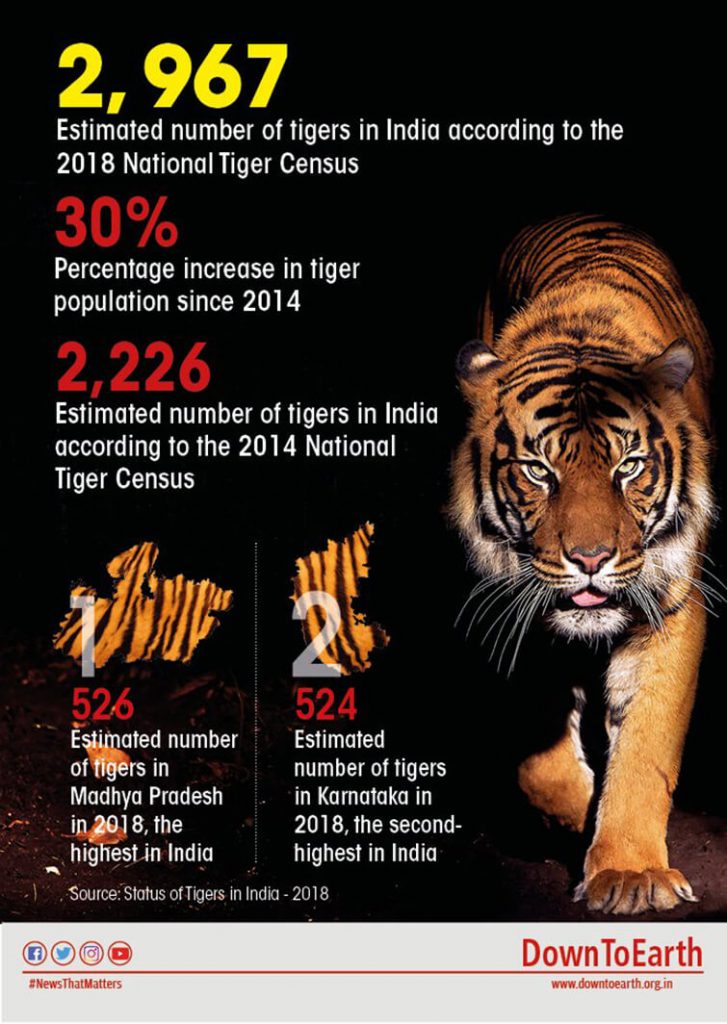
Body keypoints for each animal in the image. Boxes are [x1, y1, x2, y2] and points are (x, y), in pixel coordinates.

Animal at [449, 213, 716, 914]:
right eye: (540, 471)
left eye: (629, 466)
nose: (591, 559)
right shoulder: (513, 606)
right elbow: (537, 761)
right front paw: (576, 814)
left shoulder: (671, 608)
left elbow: (647, 746)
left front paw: (629, 873)